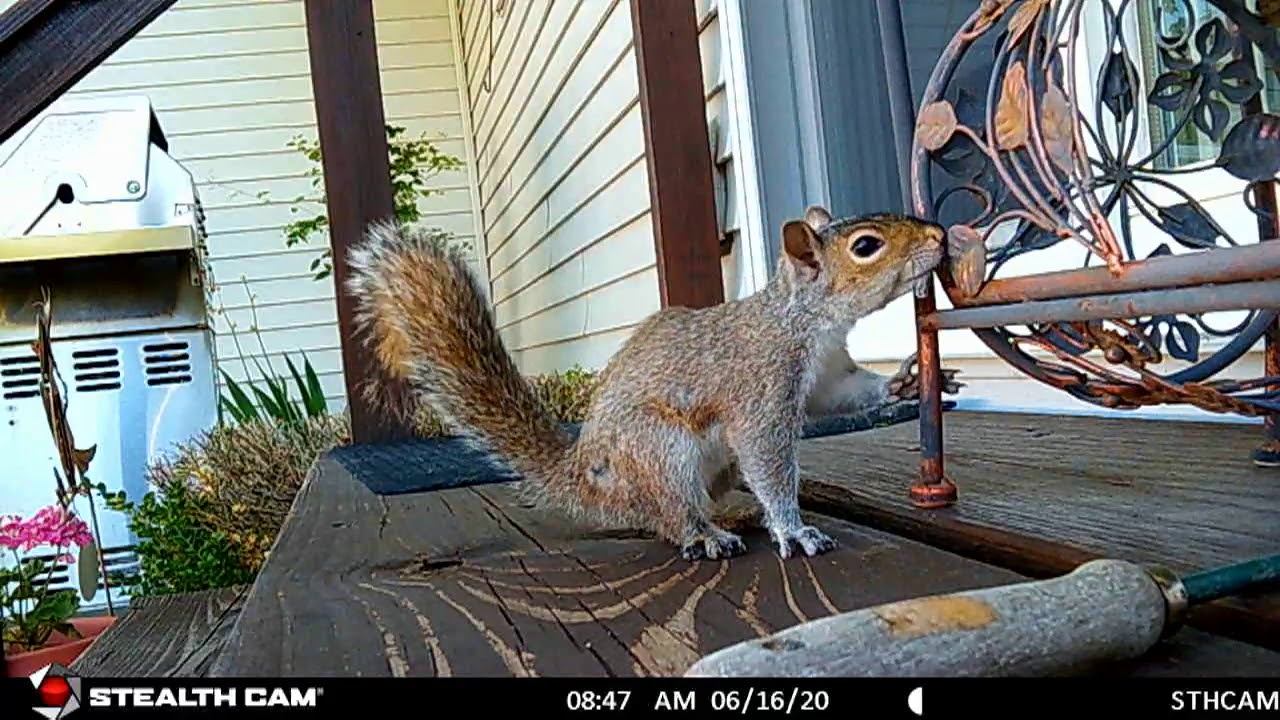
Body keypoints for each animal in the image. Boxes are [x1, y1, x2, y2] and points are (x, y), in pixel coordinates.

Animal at [345, 204, 954, 561]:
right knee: (668, 518)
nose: (939, 234)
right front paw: (794, 528)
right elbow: (770, 464)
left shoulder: (826, 373)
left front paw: (906, 381)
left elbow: (843, 396)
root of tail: (587, 479)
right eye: (867, 246)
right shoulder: (759, 388)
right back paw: (705, 534)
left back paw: (728, 515)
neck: (800, 322)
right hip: (660, 450)